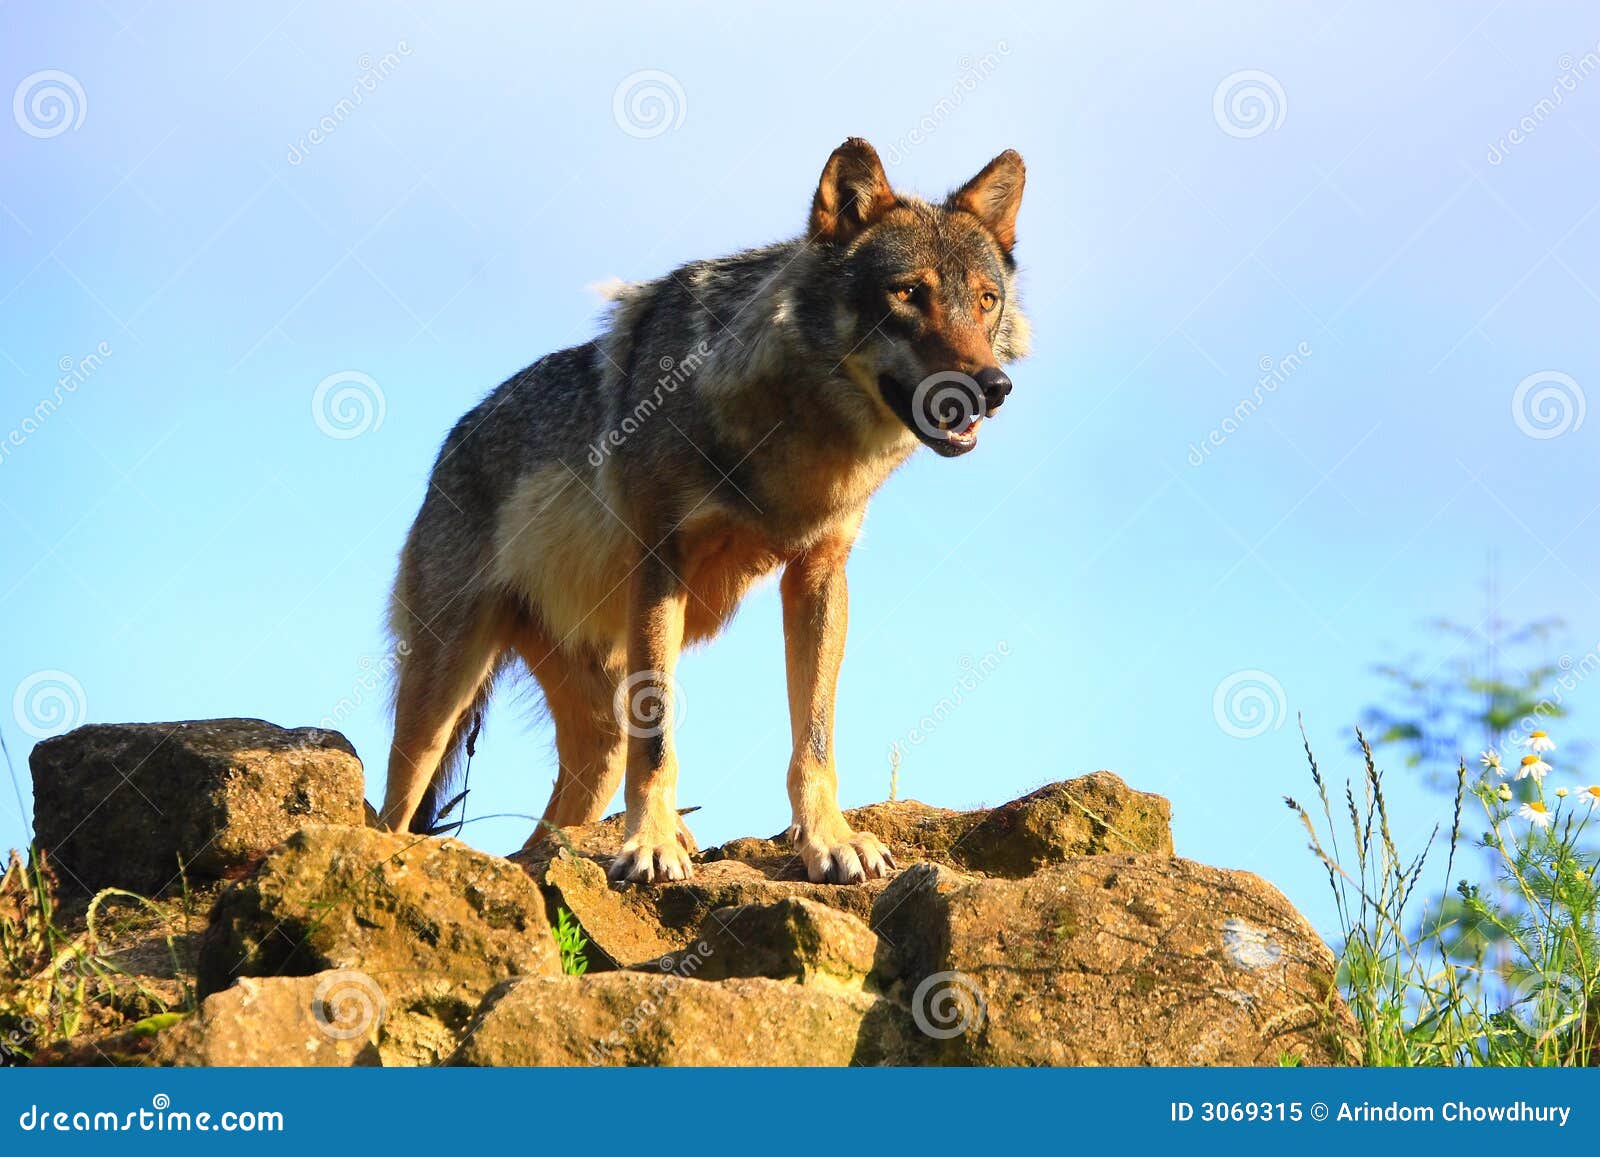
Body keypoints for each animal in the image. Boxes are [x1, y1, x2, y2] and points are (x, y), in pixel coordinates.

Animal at [379, 138, 1028, 884]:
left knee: (548, 824)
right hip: (442, 691)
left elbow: (815, 737)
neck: (796, 430)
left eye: (985, 300)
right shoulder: (661, 565)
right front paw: (652, 845)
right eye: (908, 293)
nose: (992, 387)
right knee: (393, 809)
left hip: (592, 735)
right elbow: (660, 736)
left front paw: (829, 840)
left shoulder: (819, 575)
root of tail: (451, 442)